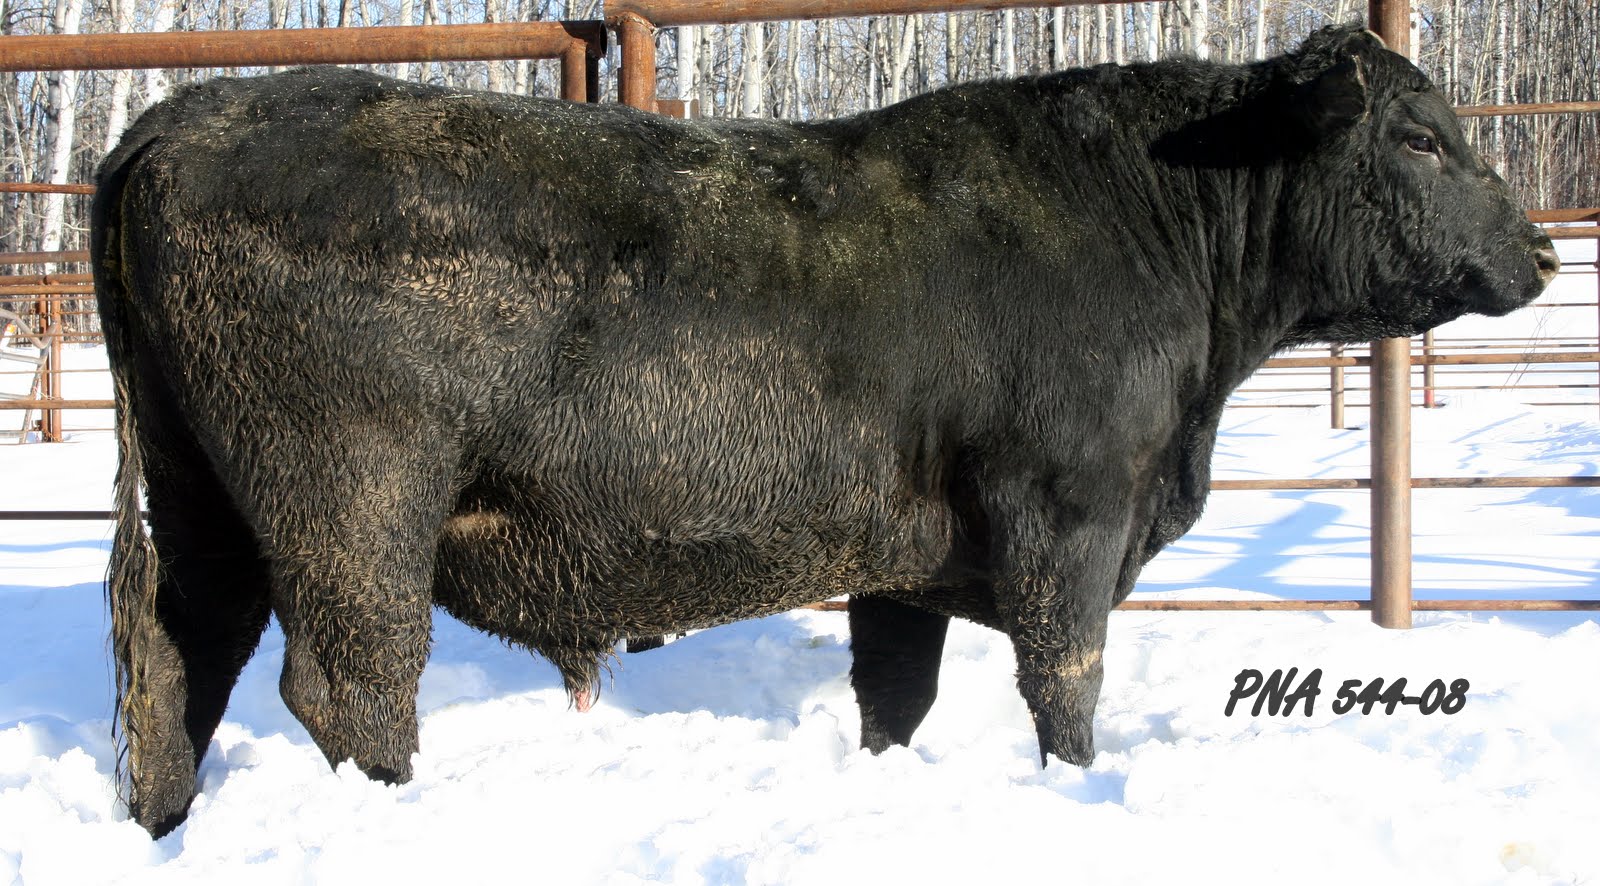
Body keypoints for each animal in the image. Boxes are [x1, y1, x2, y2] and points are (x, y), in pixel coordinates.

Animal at [92, 23, 1557, 836]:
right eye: (1421, 139)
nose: (1543, 248)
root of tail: (178, 115)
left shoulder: (900, 556)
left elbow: (893, 696)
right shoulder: (1068, 517)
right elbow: (1066, 688)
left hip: (206, 497)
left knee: (180, 658)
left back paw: (162, 828)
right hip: (354, 506)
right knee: (348, 684)